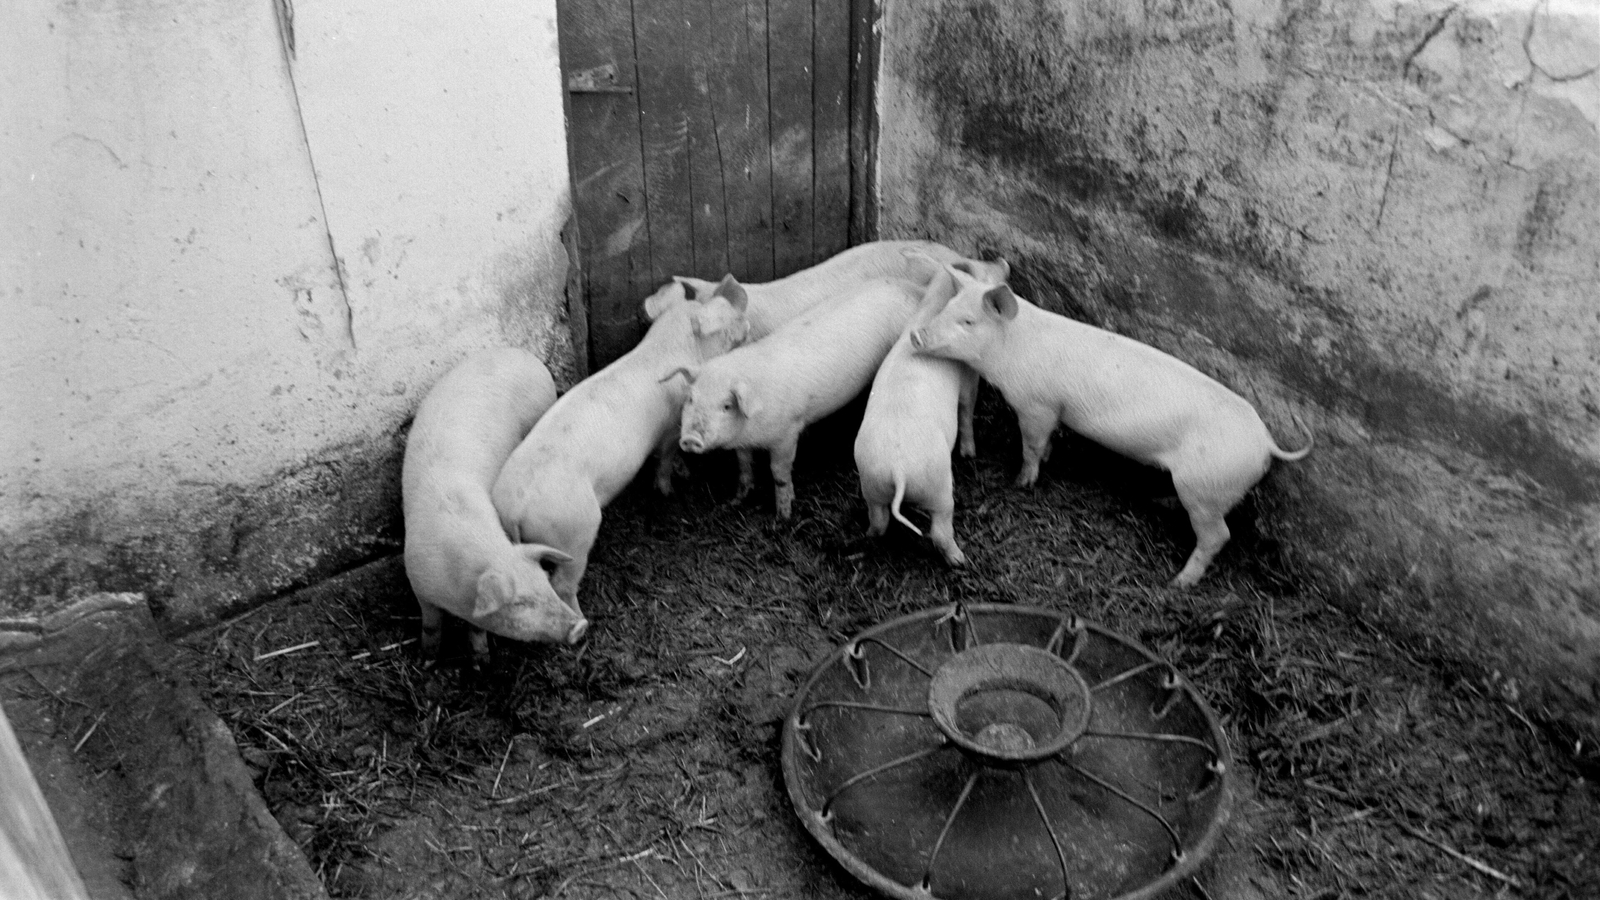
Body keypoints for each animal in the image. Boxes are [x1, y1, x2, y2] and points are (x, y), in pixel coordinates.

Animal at [402, 348, 588, 668]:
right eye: (520, 602)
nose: (580, 626)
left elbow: (476, 629)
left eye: (545, 582)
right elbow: (431, 625)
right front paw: (426, 662)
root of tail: (526, 356)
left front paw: (481, 663)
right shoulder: (417, 582)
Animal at [490, 277, 752, 614]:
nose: (748, 324)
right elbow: (665, 457)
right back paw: (581, 620)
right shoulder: (671, 426)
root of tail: (515, 509)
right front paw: (670, 489)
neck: (672, 348)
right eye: (725, 322)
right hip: (573, 532)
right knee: (563, 583)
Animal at [669, 278, 922, 518]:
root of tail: (909, 287)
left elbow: (779, 473)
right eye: (690, 399)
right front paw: (734, 501)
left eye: (726, 405)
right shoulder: (741, 442)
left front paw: (783, 516)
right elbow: (744, 466)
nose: (690, 439)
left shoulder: (787, 432)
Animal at [908, 262, 1313, 588]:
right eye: (947, 308)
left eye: (968, 322)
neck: (1009, 352)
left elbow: (1032, 445)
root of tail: (1266, 444)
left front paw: (1021, 482)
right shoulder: (1051, 410)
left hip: (1207, 484)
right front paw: (1046, 461)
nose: (917, 334)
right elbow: (1048, 442)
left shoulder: (1036, 405)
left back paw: (1178, 583)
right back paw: (1163, 502)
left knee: (1218, 536)